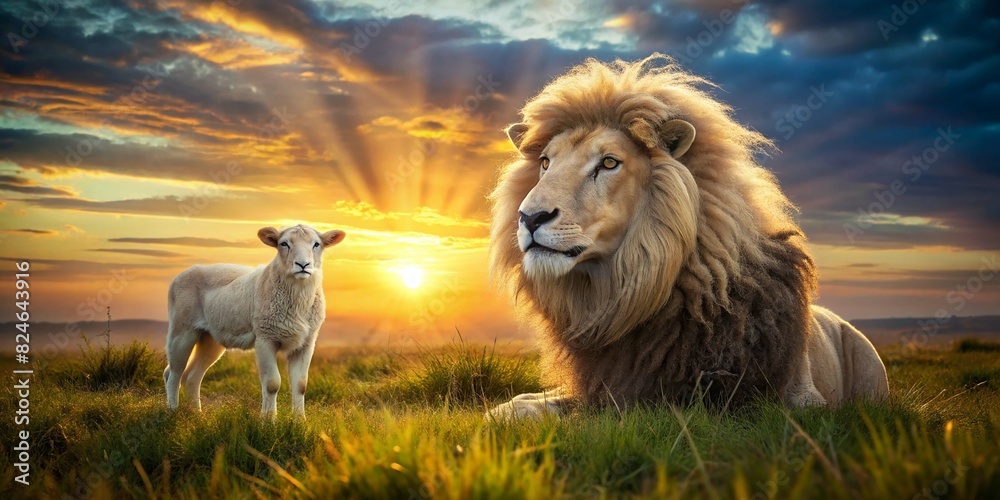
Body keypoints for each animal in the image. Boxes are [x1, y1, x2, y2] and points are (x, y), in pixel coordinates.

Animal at [163, 224, 345, 420]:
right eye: (284, 243)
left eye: (316, 244)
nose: (303, 265)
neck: (298, 300)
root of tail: (183, 273)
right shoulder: (266, 338)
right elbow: (272, 383)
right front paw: (268, 421)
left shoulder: (305, 343)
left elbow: (301, 385)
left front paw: (299, 422)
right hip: (182, 331)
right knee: (173, 373)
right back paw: (172, 412)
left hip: (210, 338)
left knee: (192, 376)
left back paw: (197, 415)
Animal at [486, 54, 889, 420]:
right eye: (545, 163)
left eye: (609, 163)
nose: (529, 217)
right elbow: (529, 406)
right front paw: (510, 411)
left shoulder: (797, 402)